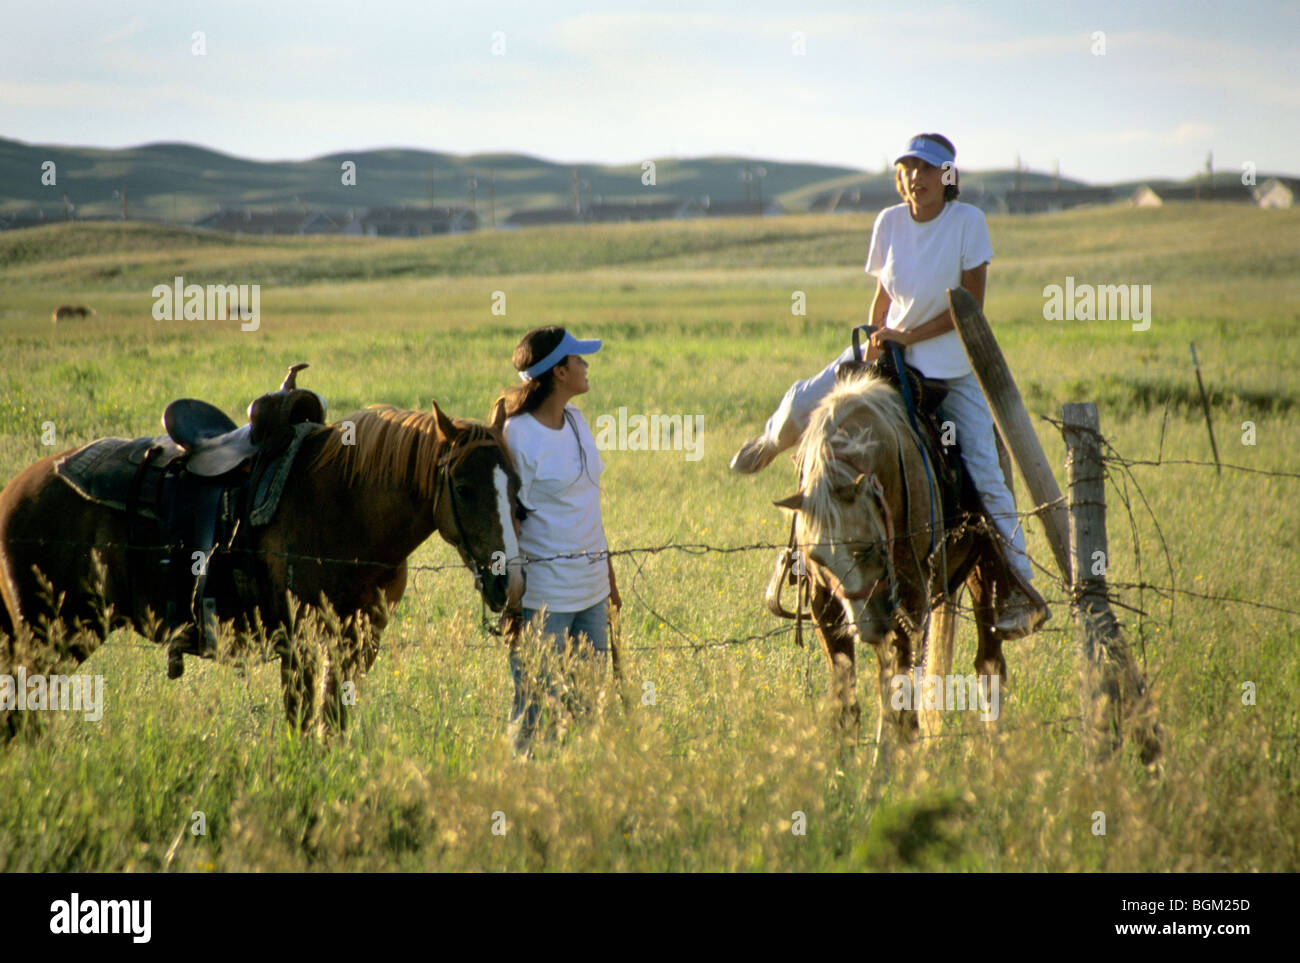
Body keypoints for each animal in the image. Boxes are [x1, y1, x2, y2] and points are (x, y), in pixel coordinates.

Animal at [0, 399, 525, 738]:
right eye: (463, 488)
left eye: (516, 484)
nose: (511, 582)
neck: (344, 508)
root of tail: (16, 489)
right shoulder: (298, 641)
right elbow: (302, 722)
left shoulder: (359, 640)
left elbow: (332, 725)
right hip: (52, 634)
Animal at [770, 372, 1012, 756]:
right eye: (819, 558)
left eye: (868, 547)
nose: (868, 628)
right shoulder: (825, 604)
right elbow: (846, 695)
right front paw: (843, 763)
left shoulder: (910, 602)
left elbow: (899, 694)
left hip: (980, 574)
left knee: (989, 661)